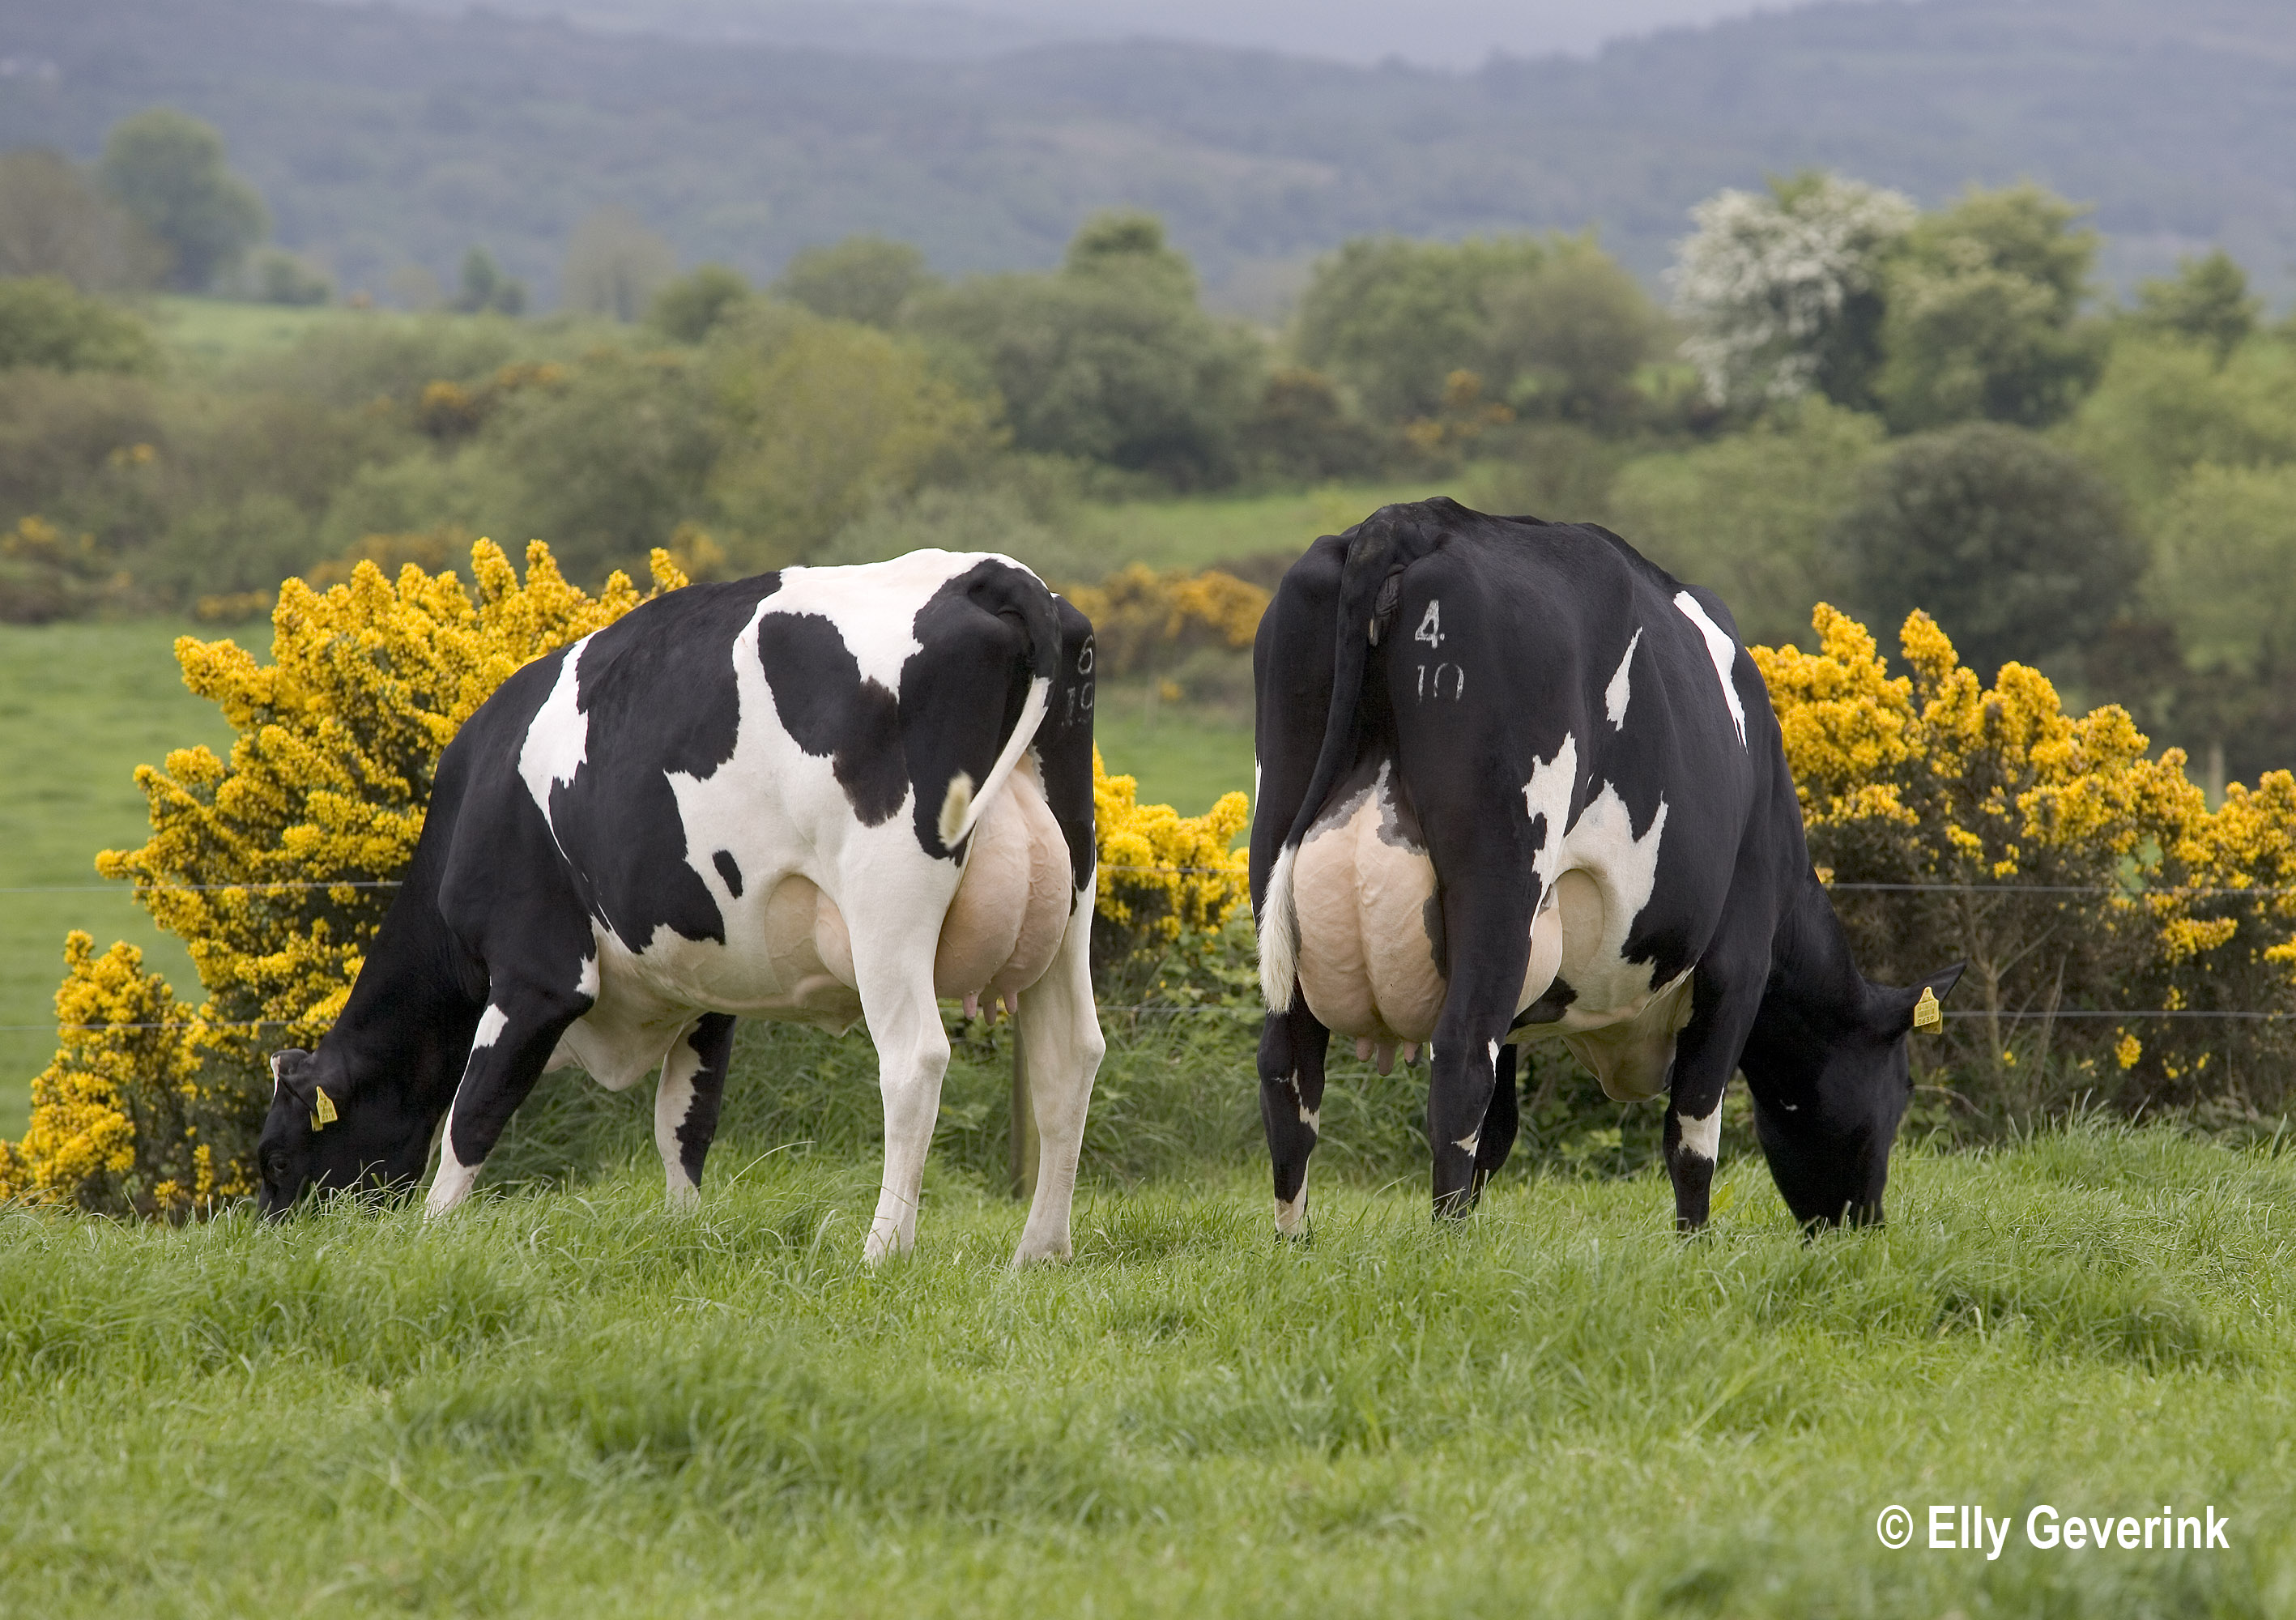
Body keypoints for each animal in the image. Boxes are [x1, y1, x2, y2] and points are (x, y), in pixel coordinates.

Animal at [256, 550, 1106, 1266]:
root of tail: (991, 574)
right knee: (1070, 1057)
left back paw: (881, 1252)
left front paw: (432, 1236)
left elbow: (473, 1114)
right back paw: (1041, 1254)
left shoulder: (538, 974)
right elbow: (683, 1125)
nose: (274, 1242)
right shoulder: (707, 989)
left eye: (276, 1157)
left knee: (915, 1062)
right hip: (1072, 897)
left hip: (887, 902)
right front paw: (683, 1231)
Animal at [1251, 499, 1960, 1237]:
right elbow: (1692, 1133)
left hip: (1276, 842)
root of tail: (1411, 519)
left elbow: (1498, 1134)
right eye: (1902, 1085)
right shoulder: (1737, 961)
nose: (1864, 1222)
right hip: (1501, 882)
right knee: (1461, 1060)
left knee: (1289, 1068)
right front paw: (1693, 1247)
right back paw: (1444, 1244)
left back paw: (1297, 1242)